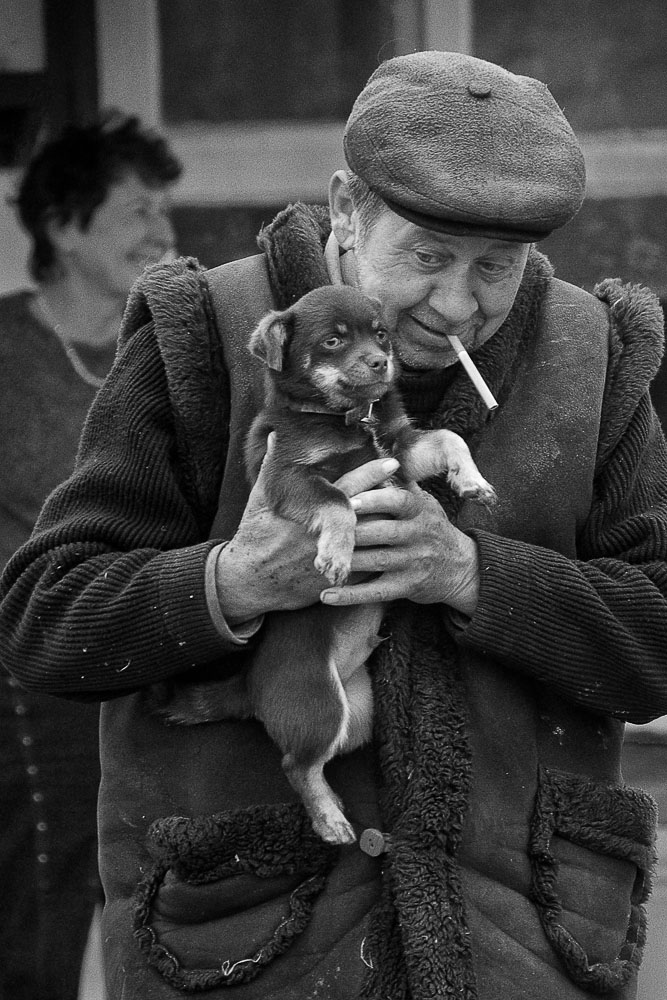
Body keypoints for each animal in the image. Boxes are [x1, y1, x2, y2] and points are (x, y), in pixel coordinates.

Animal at [162, 288, 496, 844]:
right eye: (333, 341)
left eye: (381, 335)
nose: (381, 362)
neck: (352, 417)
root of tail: (248, 687)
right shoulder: (287, 475)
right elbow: (337, 500)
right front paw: (337, 555)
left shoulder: (400, 449)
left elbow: (449, 438)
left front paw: (473, 483)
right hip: (318, 704)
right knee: (295, 766)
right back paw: (329, 821)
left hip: (356, 716)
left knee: (313, 763)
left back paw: (332, 806)